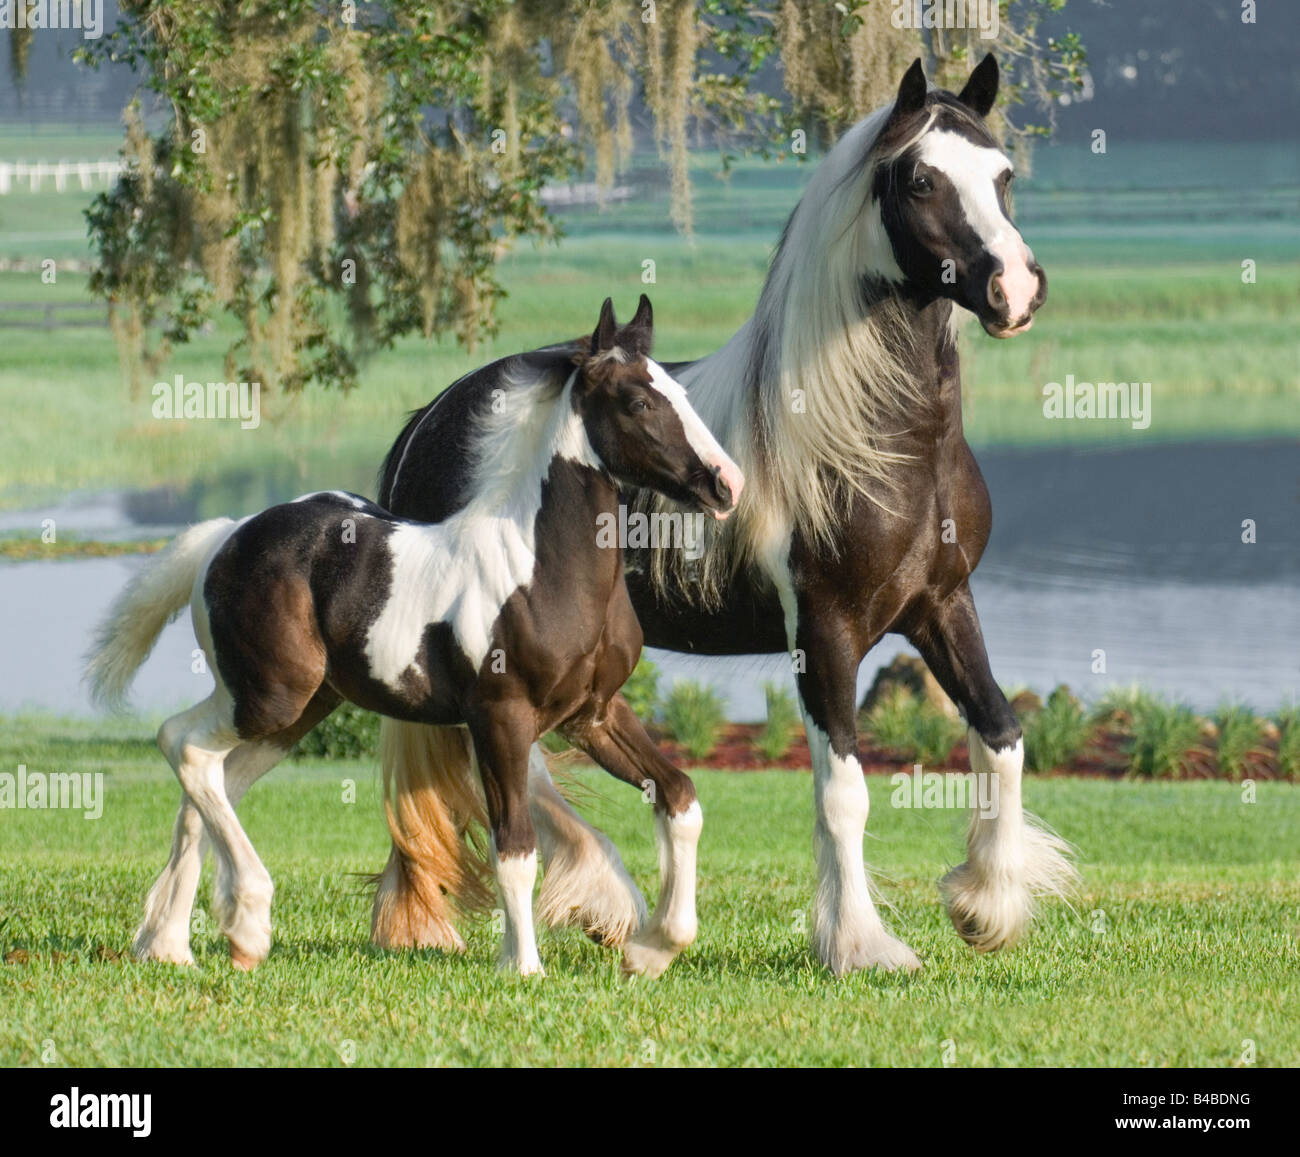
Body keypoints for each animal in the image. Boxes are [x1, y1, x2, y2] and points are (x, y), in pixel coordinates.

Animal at [85, 296, 744, 977]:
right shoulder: (500, 718)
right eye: (638, 402)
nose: (726, 485)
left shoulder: (594, 714)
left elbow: (680, 798)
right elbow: (515, 848)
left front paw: (652, 948)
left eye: (680, 392)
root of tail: (226, 536)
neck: (541, 569)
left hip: (298, 711)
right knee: (183, 745)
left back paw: (176, 942)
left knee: (211, 785)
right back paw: (245, 920)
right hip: (267, 698)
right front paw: (523, 967)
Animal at [368, 54, 1077, 976]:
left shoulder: (941, 604)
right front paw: (861, 943)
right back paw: (609, 900)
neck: (878, 442)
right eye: (921, 180)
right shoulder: (826, 629)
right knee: (518, 766)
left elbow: (1002, 734)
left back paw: (609, 904)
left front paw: (985, 904)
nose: (1015, 289)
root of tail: (429, 420)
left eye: (1003, 174)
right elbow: (844, 788)